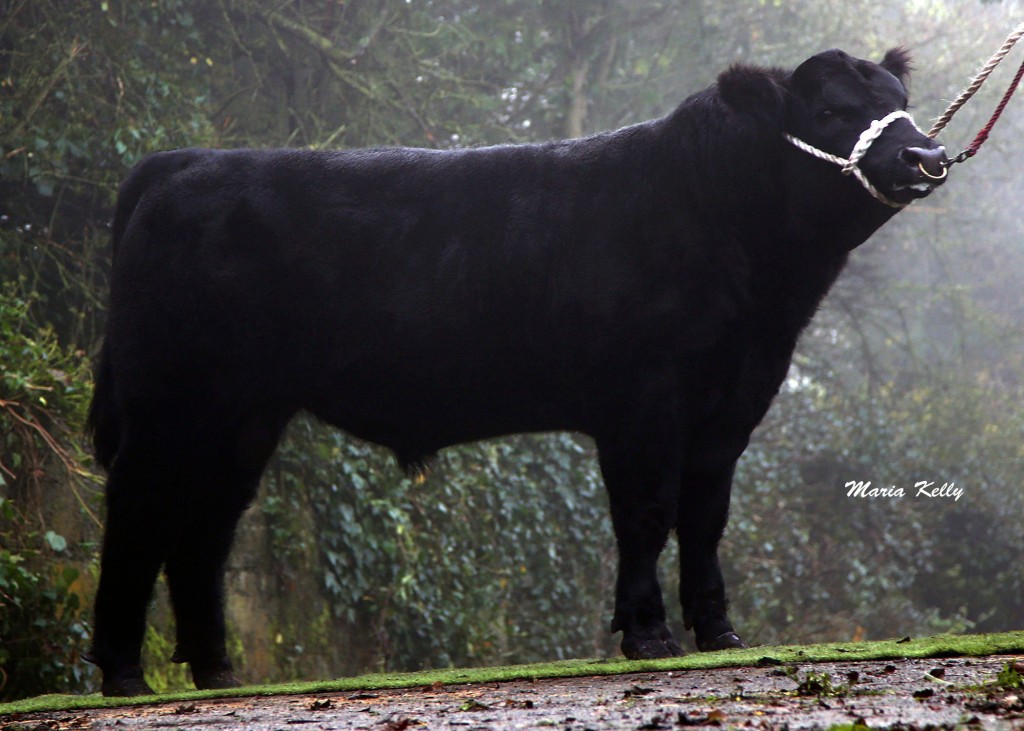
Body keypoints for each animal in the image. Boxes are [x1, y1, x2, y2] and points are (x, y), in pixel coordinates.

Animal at [84, 47, 948, 696]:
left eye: (903, 100)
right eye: (831, 110)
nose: (927, 153)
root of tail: (183, 162)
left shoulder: (732, 402)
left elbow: (704, 519)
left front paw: (720, 631)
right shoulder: (644, 402)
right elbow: (645, 515)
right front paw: (648, 633)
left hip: (242, 415)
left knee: (205, 529)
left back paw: (219, 670)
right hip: (171, 403)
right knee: (137, 510)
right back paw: (123, 672)